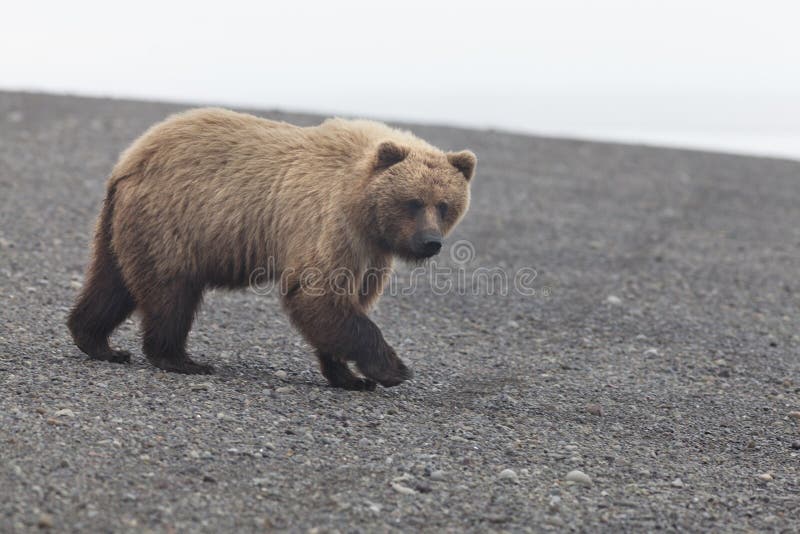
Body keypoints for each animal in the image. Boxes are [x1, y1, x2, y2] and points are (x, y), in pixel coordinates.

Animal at [67, 108, 476, 390]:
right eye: (413, 201)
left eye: (444, 204)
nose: (430, 242)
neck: (362, 209)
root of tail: (130, 160)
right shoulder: (327, 223)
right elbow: (318, 293)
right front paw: (392, 369)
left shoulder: (370, 252)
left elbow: (347, 301)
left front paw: (349, 376)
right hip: (173, 219)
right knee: (171, 291)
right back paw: (179, 358)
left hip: (122, 224)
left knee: (112, 281)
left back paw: (98, 342)